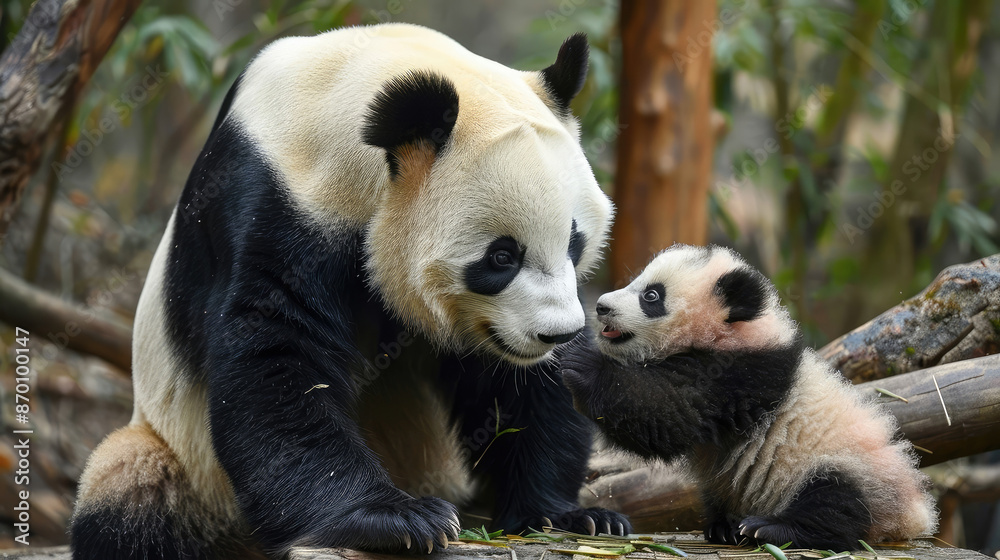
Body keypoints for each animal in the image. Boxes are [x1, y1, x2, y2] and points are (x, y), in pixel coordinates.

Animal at [70, 24, 631, 559]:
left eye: (574, 242)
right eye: (501, 257)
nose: (558, 335)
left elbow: (520, 391)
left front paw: (567, 514)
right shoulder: (267, 198)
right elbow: (278, 358)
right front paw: (397, 519)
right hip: (184, 463)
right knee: (129, 493)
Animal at [560, 244, 936, 550]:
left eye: (651, 296)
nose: (601, 306)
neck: (740, 332)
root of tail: (912, 514)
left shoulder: (741, 374)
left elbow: (667, 411)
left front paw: (581, 360)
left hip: (847, 467)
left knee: (837, 503)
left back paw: (771, 529)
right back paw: (725, 526)